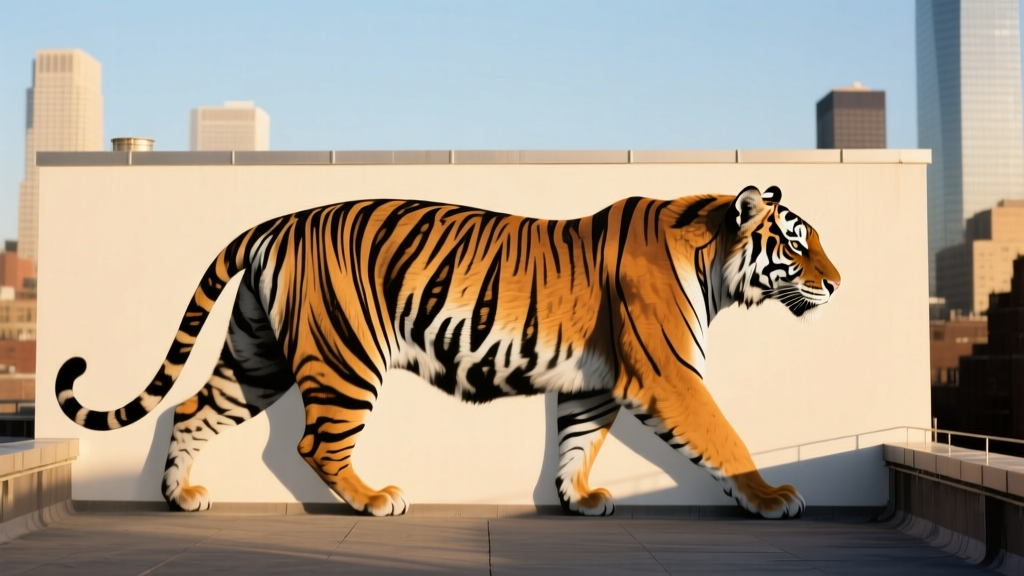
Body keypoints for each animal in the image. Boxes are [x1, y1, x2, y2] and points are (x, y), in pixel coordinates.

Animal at [55, 184, 840, 519]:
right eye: (797, 244)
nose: (837, 282)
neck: (714, 258)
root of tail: (278, 220)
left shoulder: (592, 383)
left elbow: (577, 442)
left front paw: (578, 500)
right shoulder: (669, 375)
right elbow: (726, 438)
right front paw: (773, 499)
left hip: (255, 357)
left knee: (191, 408)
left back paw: (179, 497)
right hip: (344, 358)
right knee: (316, 443)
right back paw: (375, 500)